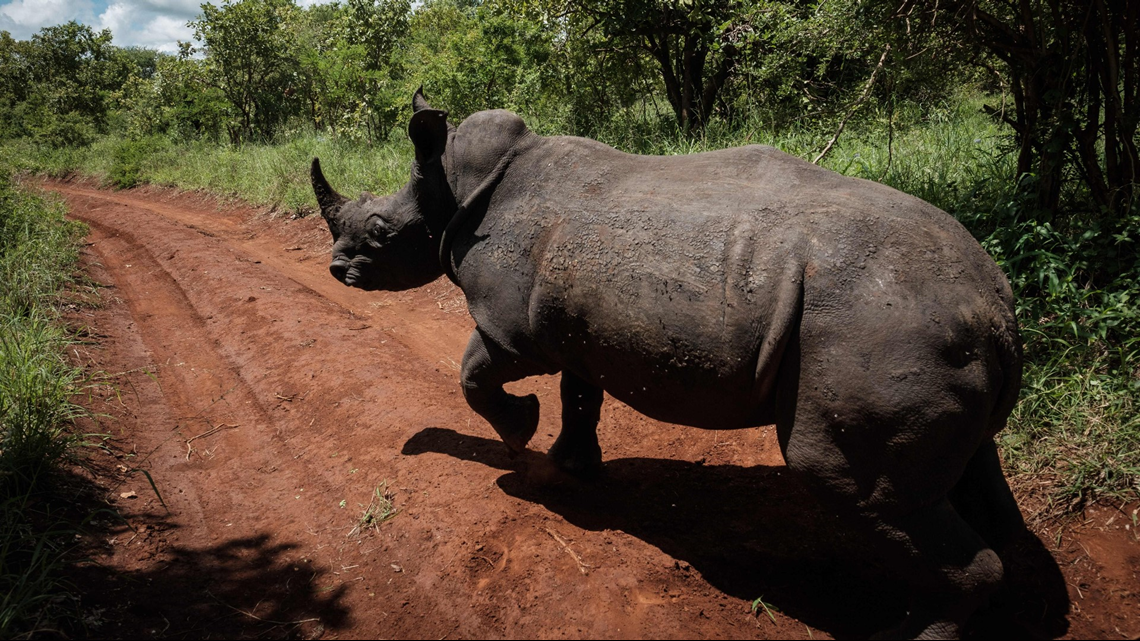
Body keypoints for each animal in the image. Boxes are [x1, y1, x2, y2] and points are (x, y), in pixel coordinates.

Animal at [310, 90, 1025, 639]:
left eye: (379, 230)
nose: (337, 271)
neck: (455, 187)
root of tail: (999, 308)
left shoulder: (512, 332)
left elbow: (474, 375)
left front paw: (519, 436)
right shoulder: (575, 325)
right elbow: (580, 395)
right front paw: (572, 467)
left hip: (878, 326)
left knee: (841, 475)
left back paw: (910, 631)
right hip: (934, 330)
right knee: (970, 469)